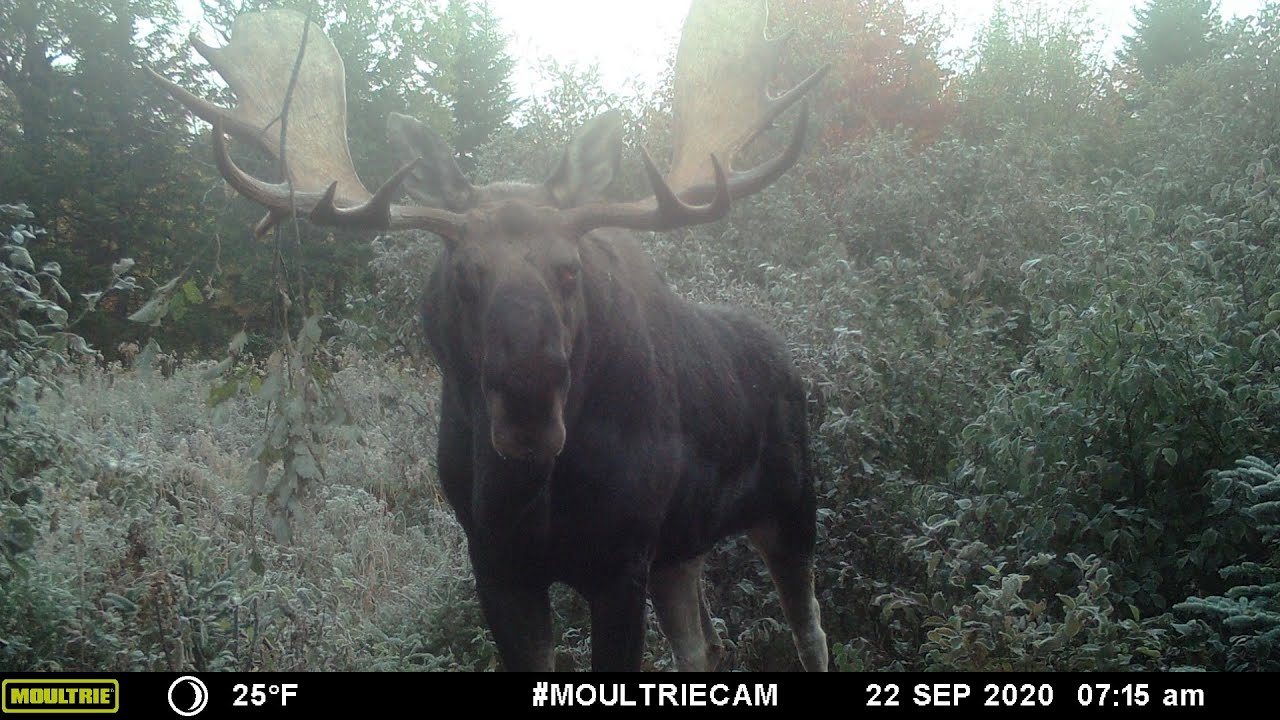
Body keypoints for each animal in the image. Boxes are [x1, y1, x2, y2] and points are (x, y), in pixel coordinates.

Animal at [152, 0, 829, 671]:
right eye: (463, 273)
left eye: (570, 267)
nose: (530, 402)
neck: (533, 491)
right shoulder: (496, 561)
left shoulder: (621, 559)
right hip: (680, 548)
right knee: (703, 646)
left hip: (791, 508)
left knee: (810, 633)